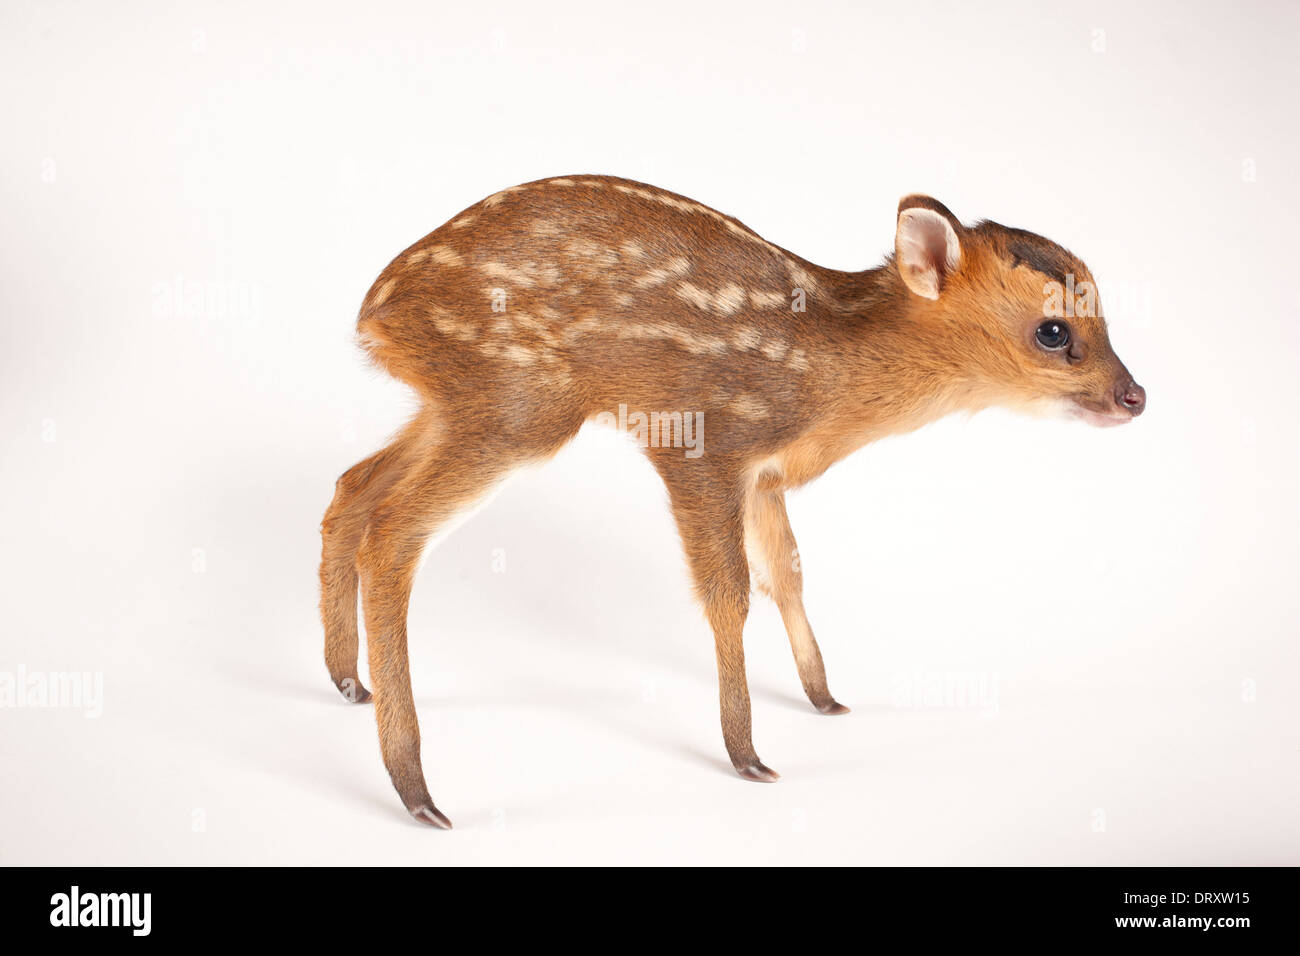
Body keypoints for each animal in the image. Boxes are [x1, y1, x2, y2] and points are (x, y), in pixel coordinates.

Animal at [320, 175, 1146, 828]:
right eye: (1053, 331)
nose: (1135, 397)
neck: (828, 384)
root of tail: (372, 315)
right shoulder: (705, 440)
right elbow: (729, 593)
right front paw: (747, 754)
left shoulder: (765, 474)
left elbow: (788, 572)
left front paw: (823, 697)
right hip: (518, 402)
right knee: (393, 533)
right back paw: (419, 792)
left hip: (458, 404)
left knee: (352, 486)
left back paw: (348, 682)